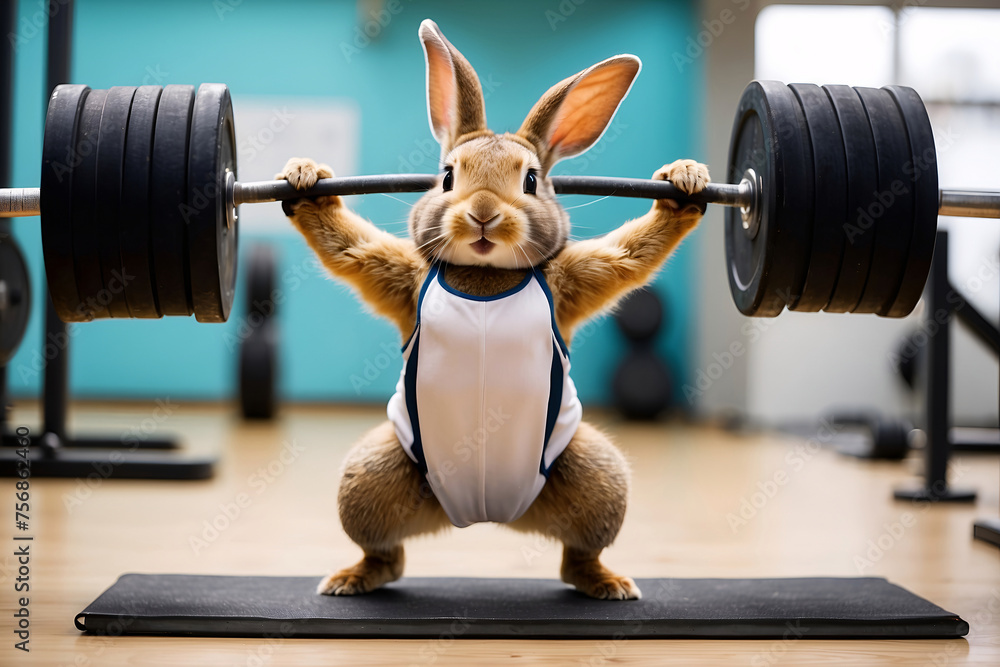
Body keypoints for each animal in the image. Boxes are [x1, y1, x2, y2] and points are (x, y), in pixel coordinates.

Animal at [278, 19, 708, 601]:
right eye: (447, 177)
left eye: (530, 180)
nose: (483, 213)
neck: (484, 277)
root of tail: (489, 515)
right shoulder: (397, 276)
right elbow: (346, 245)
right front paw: (304, 176)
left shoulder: (578, 278)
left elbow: (633, 253)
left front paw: (686, 181)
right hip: (373, 476)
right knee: (385, 552)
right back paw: (350, 579)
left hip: (597, 476)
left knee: (579, 554)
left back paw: (609, 584)